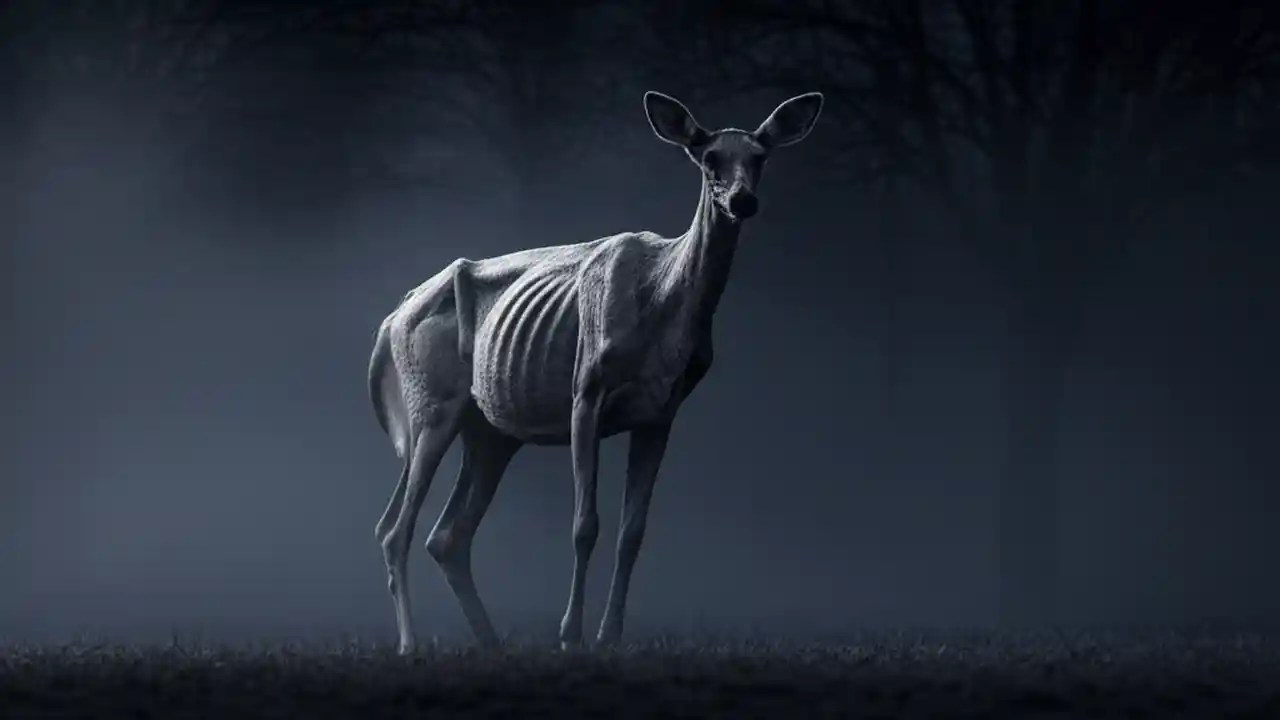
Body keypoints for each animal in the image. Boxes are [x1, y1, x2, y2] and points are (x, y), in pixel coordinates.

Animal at [368, 90, 823, 654]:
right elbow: (586, 524)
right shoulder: (586, 393)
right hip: (430, 405)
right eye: (709, 157)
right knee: (395, 529)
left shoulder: (661, 413)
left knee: (447, 536)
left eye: (759, 158)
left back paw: (492, 644)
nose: (741, 201)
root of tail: (393, 317)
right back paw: (410, 646)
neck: (662, 300)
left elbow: (633, 531)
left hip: (491, 432)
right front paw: (571, 637)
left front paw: (610, 637)